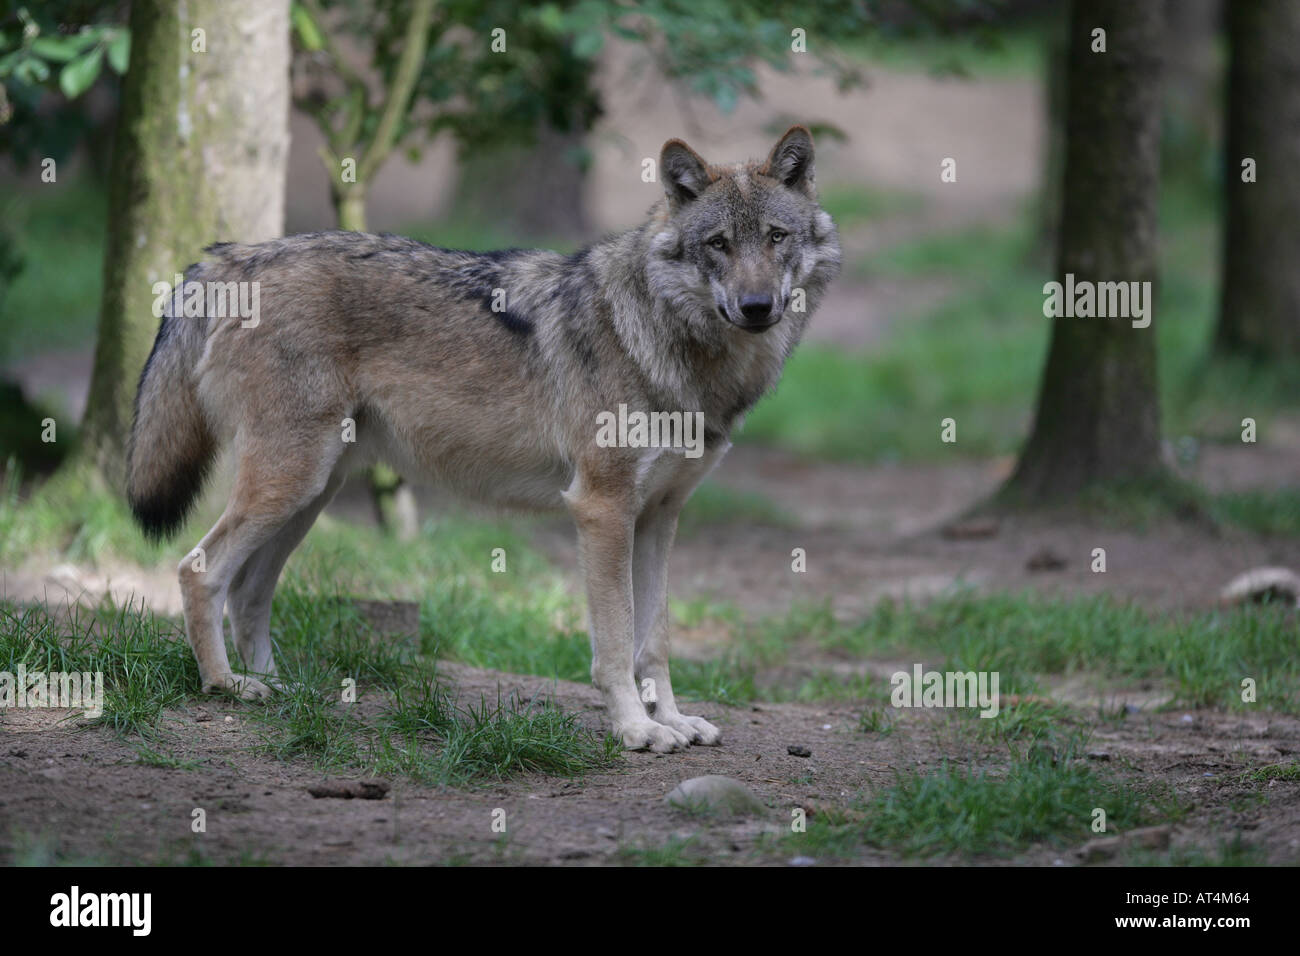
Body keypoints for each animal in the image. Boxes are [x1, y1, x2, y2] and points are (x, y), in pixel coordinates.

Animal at [126, 126, 841, 752]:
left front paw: (672, 719)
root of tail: (235, 255)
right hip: (290, 482)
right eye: (718, 243)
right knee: (198, 570)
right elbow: (614, 643)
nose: (756, 307)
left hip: (310, 493)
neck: (668, 343)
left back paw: (280, 688)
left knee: (248, 590)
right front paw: (636, 730)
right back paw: (226, 687)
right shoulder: (603, 508)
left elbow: (655, 639)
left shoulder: (660, 516)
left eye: (776, 237)